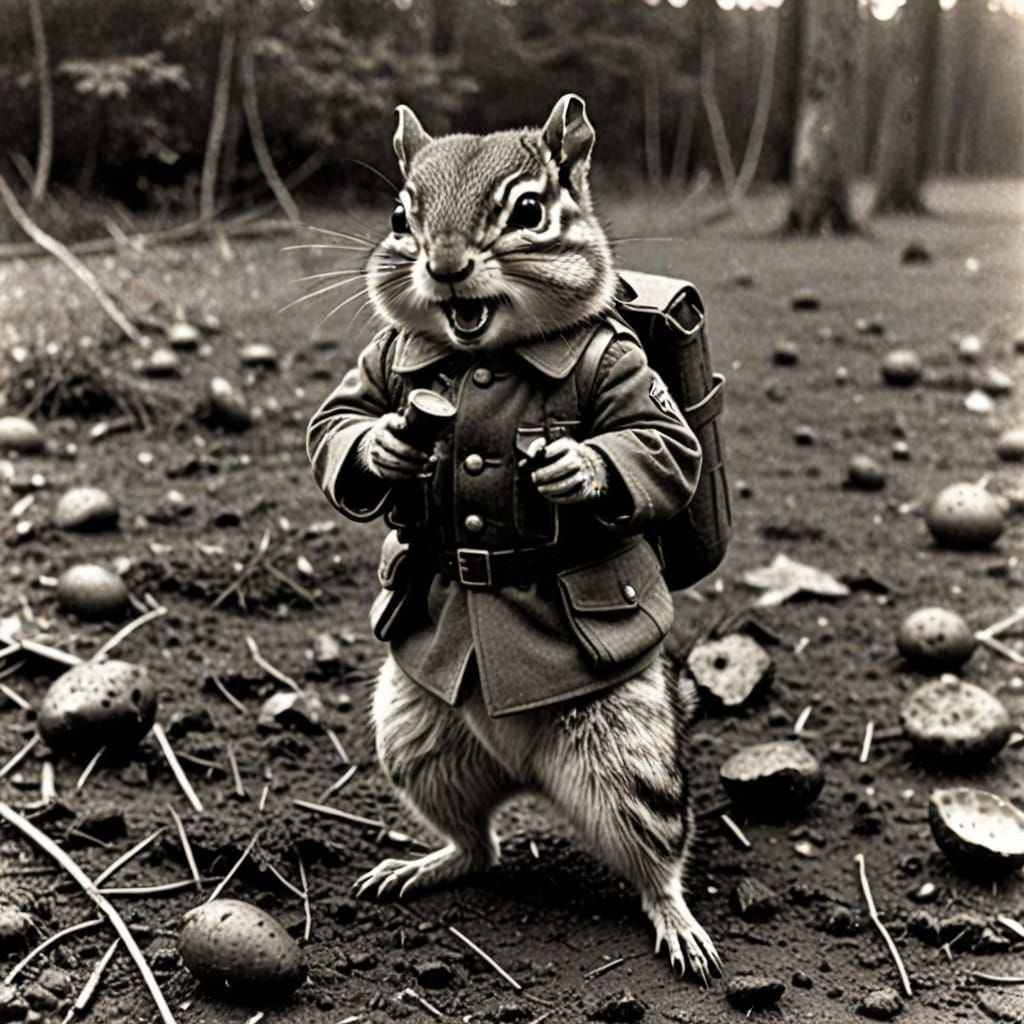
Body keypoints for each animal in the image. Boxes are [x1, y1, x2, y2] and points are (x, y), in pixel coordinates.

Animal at [306, 94, 721, 983]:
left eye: (529, 211)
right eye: (400, 217)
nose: (446, 265)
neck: (486, 356)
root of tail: (527, 771)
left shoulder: (627, 371)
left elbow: (661, 449)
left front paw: (579, 467)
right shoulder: (377, 365)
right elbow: (338, 420)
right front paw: (384, 446)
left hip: (626, 759)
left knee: (656, 858)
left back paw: (675, 920)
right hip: (416, 738)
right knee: (479, 845)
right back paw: (426, 863)